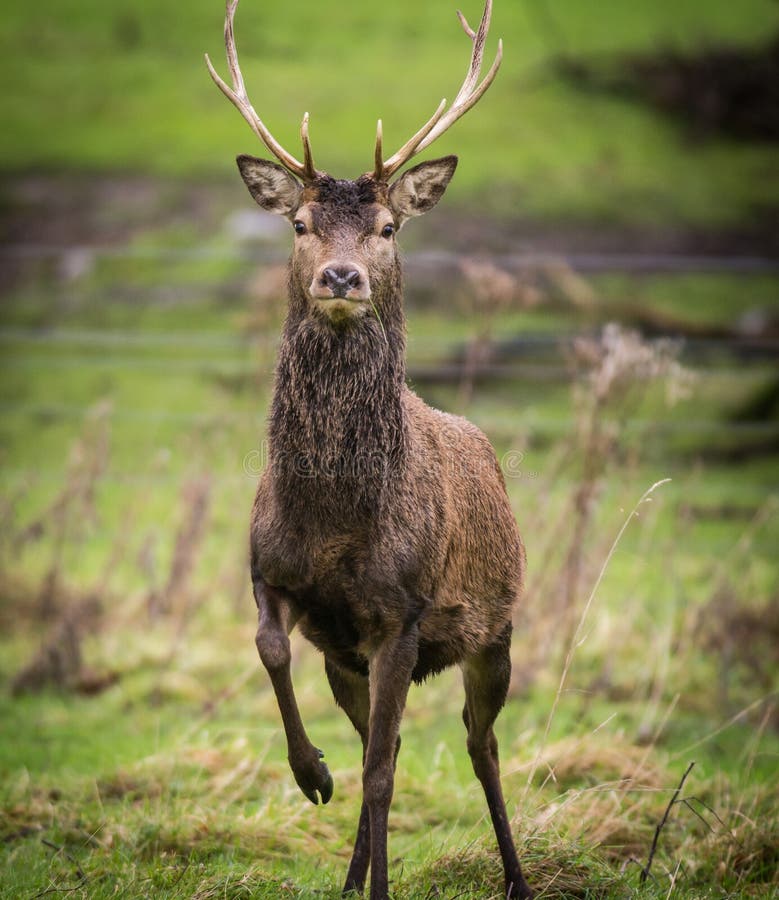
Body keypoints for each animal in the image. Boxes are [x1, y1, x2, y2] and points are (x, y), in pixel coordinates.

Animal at [206, 1, 533, 897]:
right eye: (300, 223)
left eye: (387, 227)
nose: (343, 277)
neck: (333, 519)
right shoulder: (280, 583)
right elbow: (270, 650)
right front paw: (308, 771)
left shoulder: (403, 615)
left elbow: (387, 772)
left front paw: (382, 880)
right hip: (348, 661)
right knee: (386, 743)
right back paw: (349, 872)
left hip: (495, 630)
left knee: (479, 745)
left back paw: (515, 877)